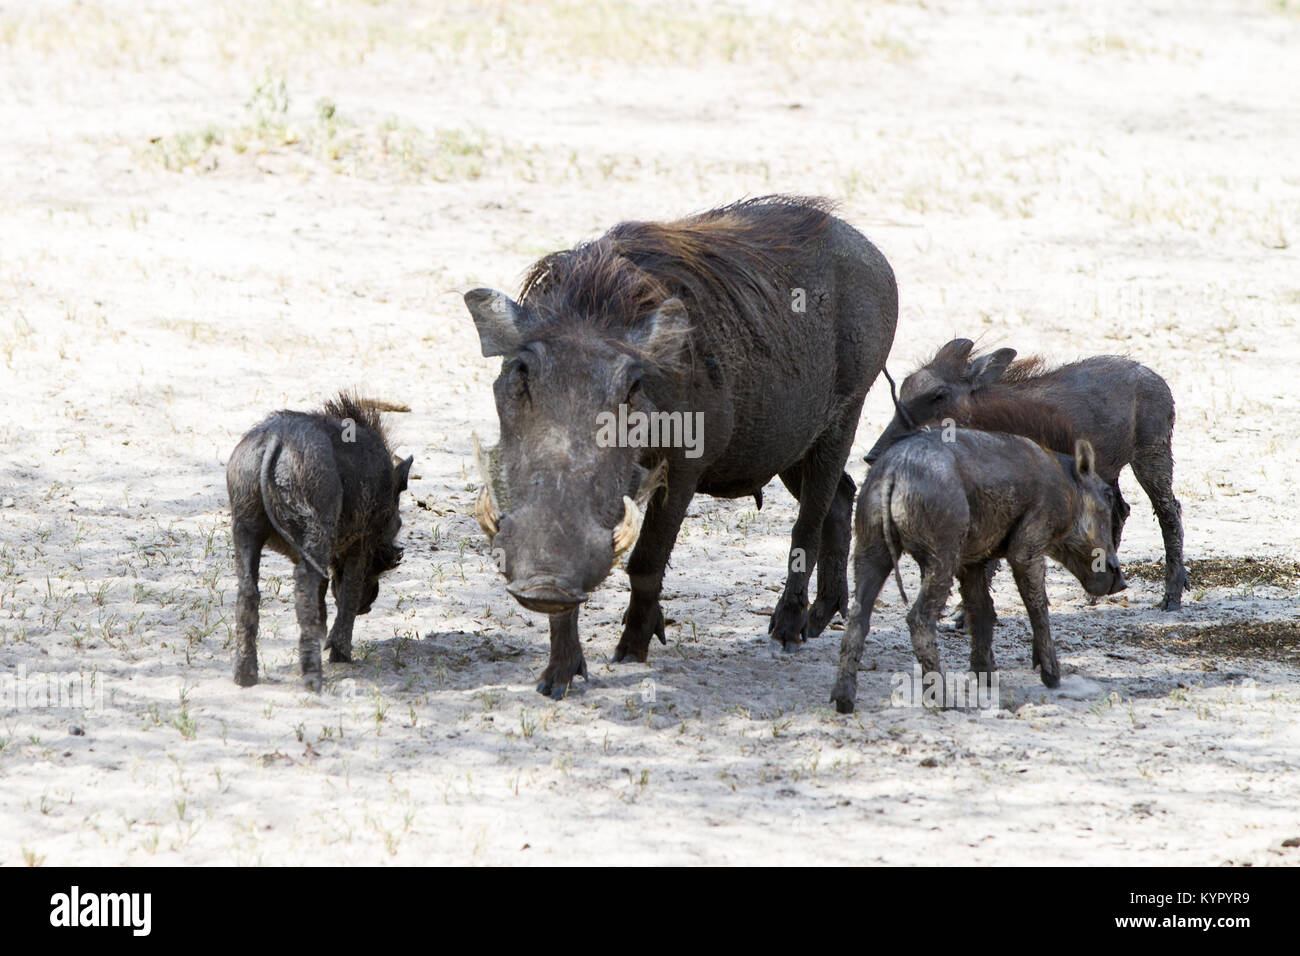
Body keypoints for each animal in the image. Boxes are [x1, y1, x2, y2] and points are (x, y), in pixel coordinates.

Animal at [226, 393, 413, 691]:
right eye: (398, 522)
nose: (369, 606)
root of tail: (274, 438)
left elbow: (327, 593)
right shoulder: (360, 543)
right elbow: (349, 591)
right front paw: (340, 655)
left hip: (245, 527)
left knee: (248, 593)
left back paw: (245, 677)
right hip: (314, 531)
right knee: (305, 591)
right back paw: (313, 679)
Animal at [464, 195, 898, 699]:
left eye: (633, 385)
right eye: (520, 373)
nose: (545, 583)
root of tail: (873, 253)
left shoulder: (685, 466)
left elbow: (647, 562)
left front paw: (632, 649)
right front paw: (558, 678)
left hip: (842, 419)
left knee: (808, 524)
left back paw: (788, 631)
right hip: (787, 443)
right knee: (840, 498)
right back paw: (822, 618)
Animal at [831, 428, 1125, 714]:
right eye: (1107, 495)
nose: (1121, 582)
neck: (1067, 490)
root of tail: (894, 471)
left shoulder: (971, 561)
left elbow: (982, 609)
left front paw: (986, 676)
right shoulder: (1028, 544)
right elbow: (1037, 606)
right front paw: (1052, 678)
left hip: (870, 546)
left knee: (858, 617)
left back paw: (843, 702)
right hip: (942, 552)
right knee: (918, 618)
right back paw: (945, 701)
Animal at [866, 339, 1188, 610]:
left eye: (939, 394)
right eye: (903, 389)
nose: (871, 456)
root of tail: (1152, 375)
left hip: (1152, 452)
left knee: (1169, 511)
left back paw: (1171, 598)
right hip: (1107, 469)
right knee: (1120, 511)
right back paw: (1092, 597)